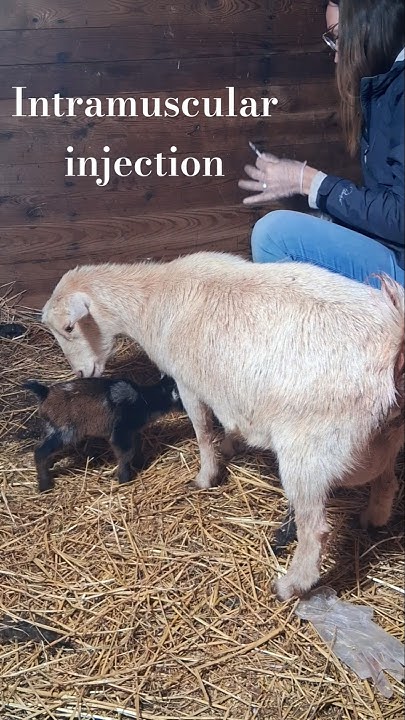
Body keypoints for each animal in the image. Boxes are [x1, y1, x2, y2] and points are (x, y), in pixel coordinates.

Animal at [23, 375, 182, 492]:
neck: (145, 400)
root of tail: (45, 393)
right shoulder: (120, 431)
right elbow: (126, 453)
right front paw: (124, 479)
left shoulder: (133, 431)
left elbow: (137, 446)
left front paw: (140, 463)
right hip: (66, 431)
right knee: (40, 452)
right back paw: (45, 486)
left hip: (53, 428)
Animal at [41, 252, 404, 600]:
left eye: (70, 327)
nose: (82, 374)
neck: (151, 299)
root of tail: (394, 347)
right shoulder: (224, 386)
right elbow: (226, 423)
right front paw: (231, 446)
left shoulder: (188, 382)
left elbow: (203, 431)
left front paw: (206, 476)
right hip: (384, 440)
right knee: (387, 482)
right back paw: (373, 520)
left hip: (310, 450)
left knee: (316, 528)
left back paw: (291, 585)